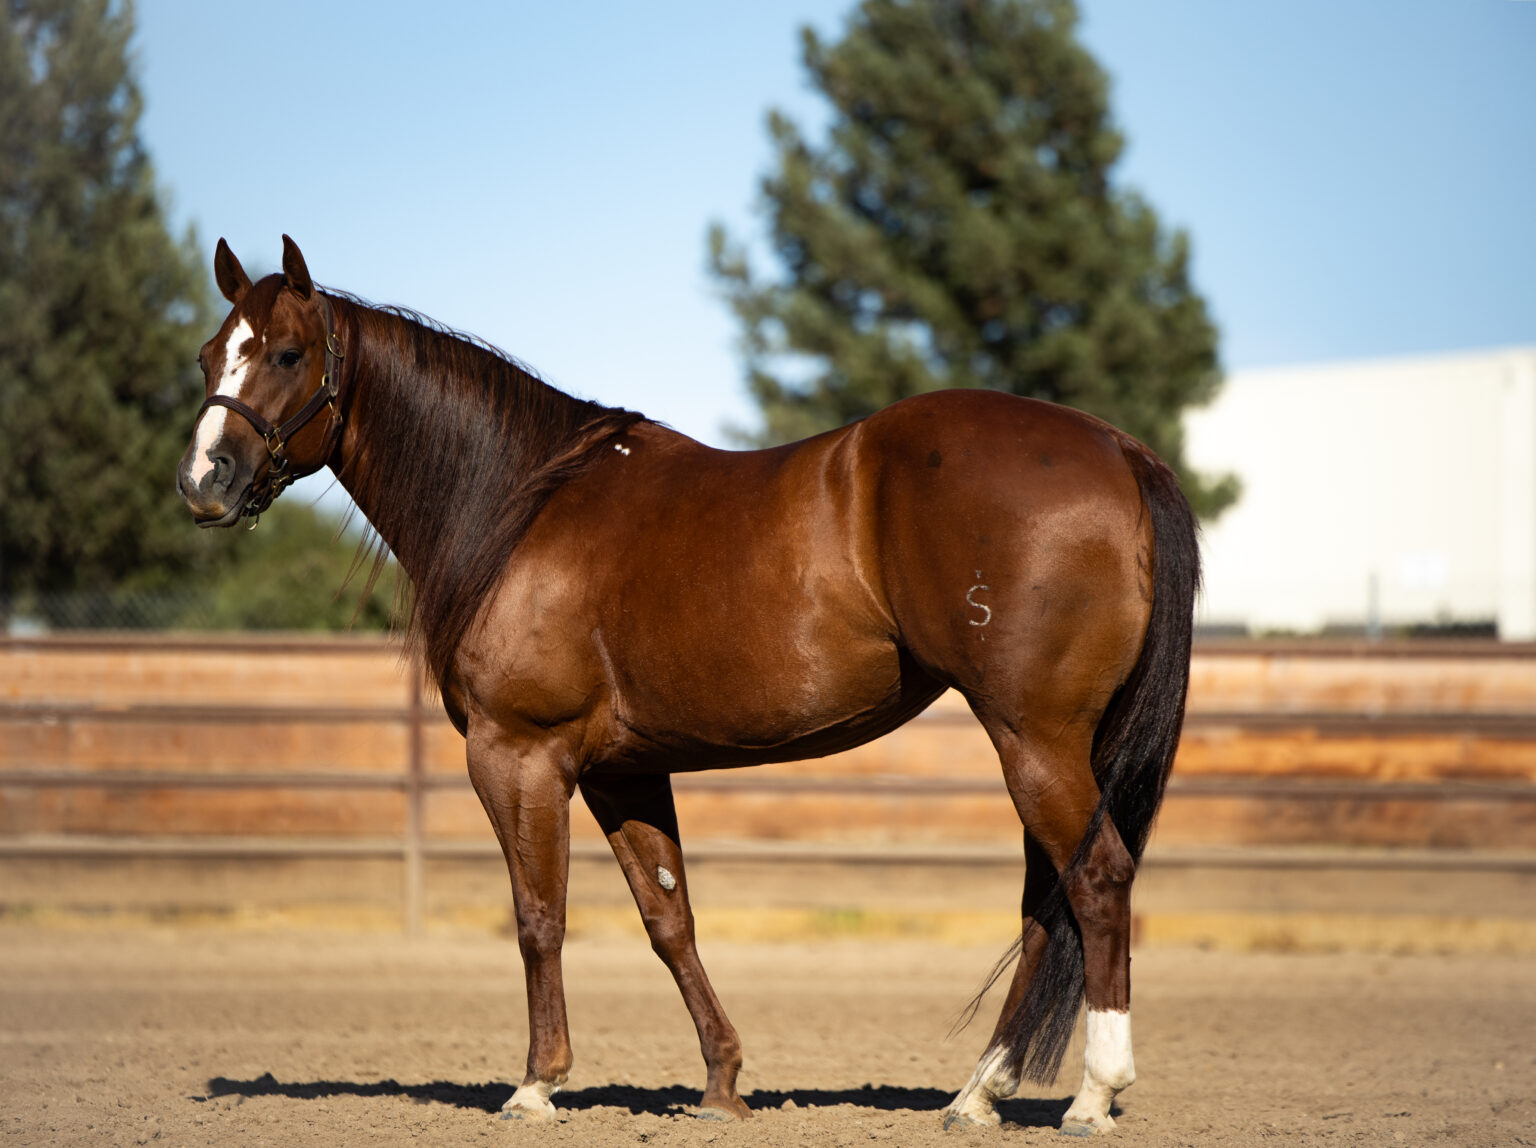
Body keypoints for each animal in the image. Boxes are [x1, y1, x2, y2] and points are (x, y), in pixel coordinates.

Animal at [176, 236, 1198, 1136]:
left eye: (287, 353)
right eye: (206, 357)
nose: (203, 481)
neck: (521, 503)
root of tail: (1117, 448)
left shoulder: (519, 754)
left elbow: (538, 916)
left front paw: (537, 1085)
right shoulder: (622, 770)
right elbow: (669, 918)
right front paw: (722, 1083)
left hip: (1034, 736)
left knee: (1094, 880)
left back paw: (1092, 1096)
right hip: (1048, 741)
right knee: (1048, 899)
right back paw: (978, 1093)